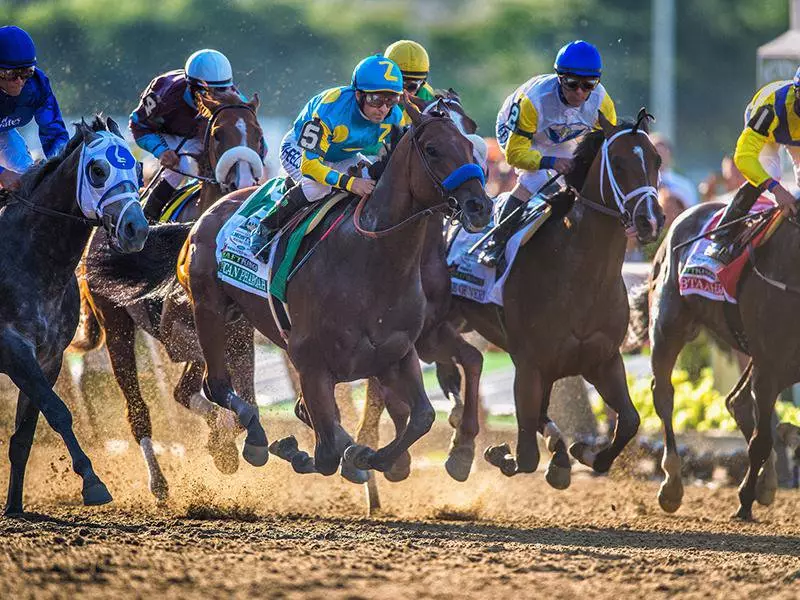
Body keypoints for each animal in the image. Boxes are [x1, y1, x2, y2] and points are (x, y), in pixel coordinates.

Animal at [0, 117, 148, 516]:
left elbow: (25, 434)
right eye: (98, 170)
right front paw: (93, 483)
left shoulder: (48, 358)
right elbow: (58, 411)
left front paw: (14, 506)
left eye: (137, 168)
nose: (137, 228)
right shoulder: (12, 348)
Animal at [70, 92, 264, 502]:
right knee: (138, 409)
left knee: (179, 393)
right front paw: (222, 443)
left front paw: (223, 445)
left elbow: (232, 398)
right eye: (219, 135)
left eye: (257, 135)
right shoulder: (178, 334)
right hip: (117, 327)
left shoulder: (241, 333)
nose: (243, 183)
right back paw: (158, 482)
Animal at [180, 102, 494, 478]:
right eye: (433, 150)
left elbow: (422, 417)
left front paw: (369, 456)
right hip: (210, 310)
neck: (370, 262)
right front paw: (315, 452)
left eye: (470, 145)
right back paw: (255, 437)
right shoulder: (311, 363)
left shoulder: (399, 352)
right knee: (216, 385)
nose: (480, 207)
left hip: (239, 321)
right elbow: (327, 452)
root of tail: (215, 207)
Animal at [360, 110, 664, 488]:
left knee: (452, 370)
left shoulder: (603, 360)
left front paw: (582, 452)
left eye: (656, 159)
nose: (650, 220)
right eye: (619, 163)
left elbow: (629, 422)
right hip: (426, 331)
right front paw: (503, 454)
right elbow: (527, 454)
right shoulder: (530, 363)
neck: (581, 275)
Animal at [628, 198, 800, 520]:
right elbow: (760, 441)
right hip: (668, 327)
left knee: (738, 402)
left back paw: (767, 482)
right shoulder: (770, 365)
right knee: (664, 395)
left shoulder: (773, 363)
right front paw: (744, 502)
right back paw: (672, 484)